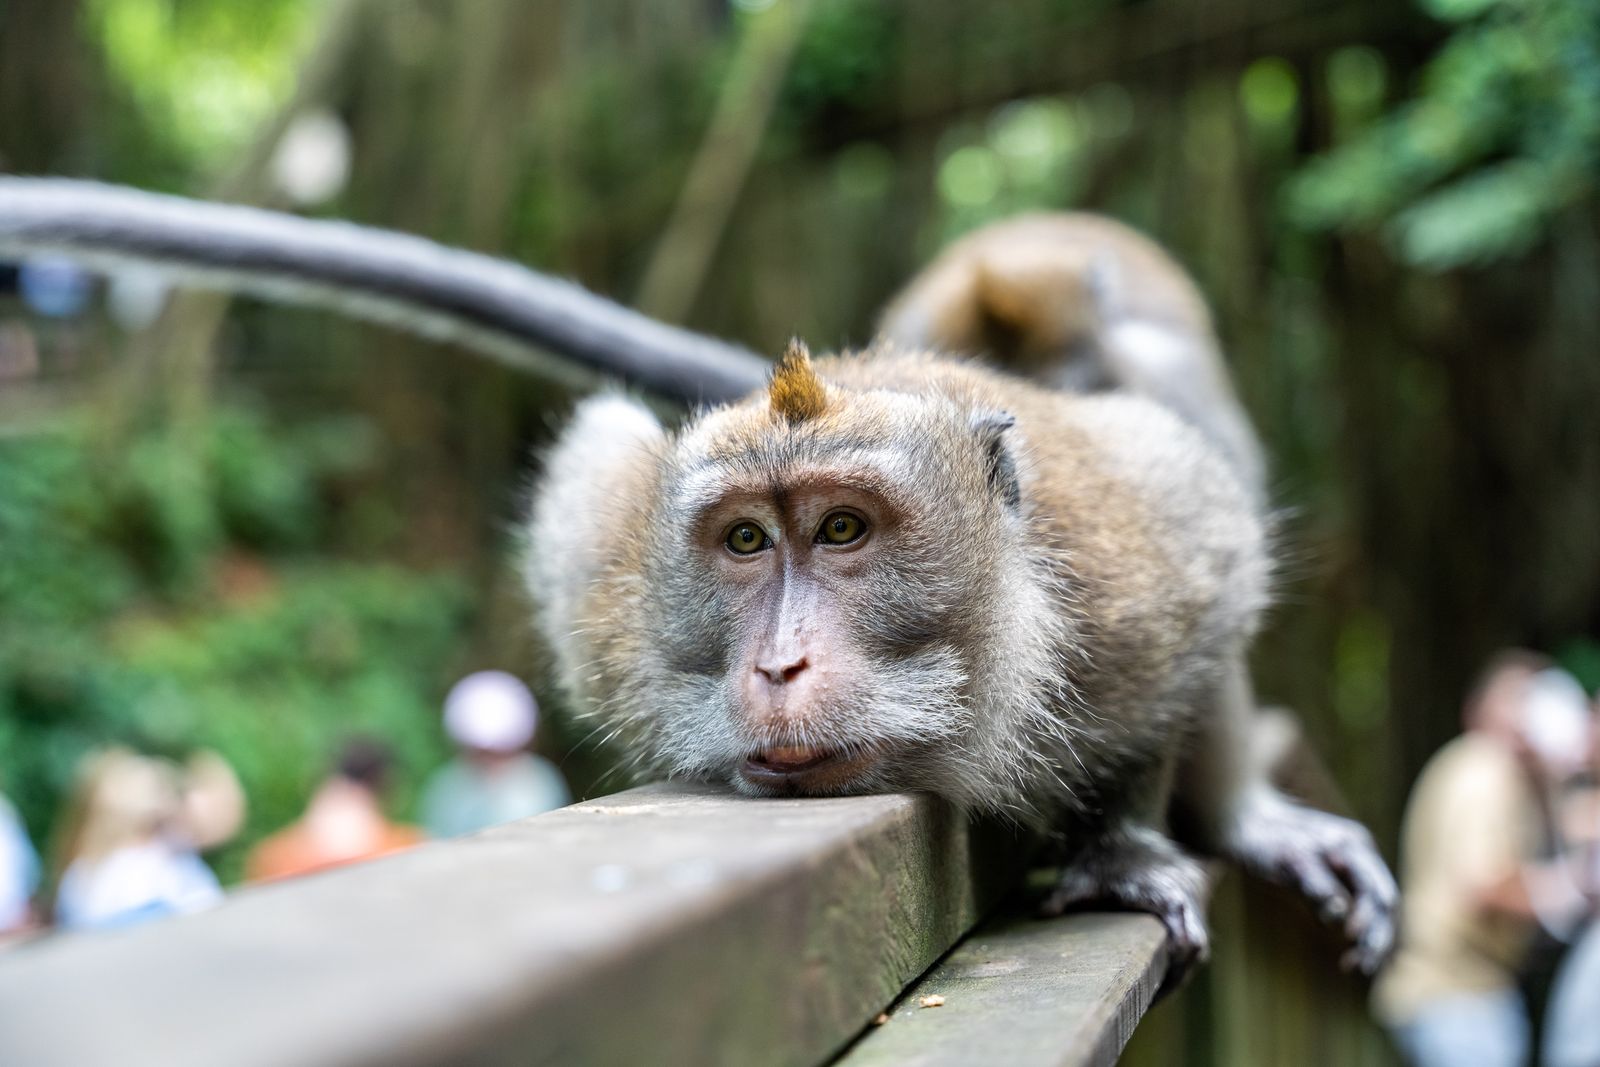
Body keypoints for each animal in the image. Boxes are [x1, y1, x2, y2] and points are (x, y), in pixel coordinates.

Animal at [0, 180, 1395, 984]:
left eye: (843, 529)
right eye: (743, 544)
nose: (777, 662)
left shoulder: (1144, 554)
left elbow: (1206, 583)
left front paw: (1127, 839)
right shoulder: (613, 584)